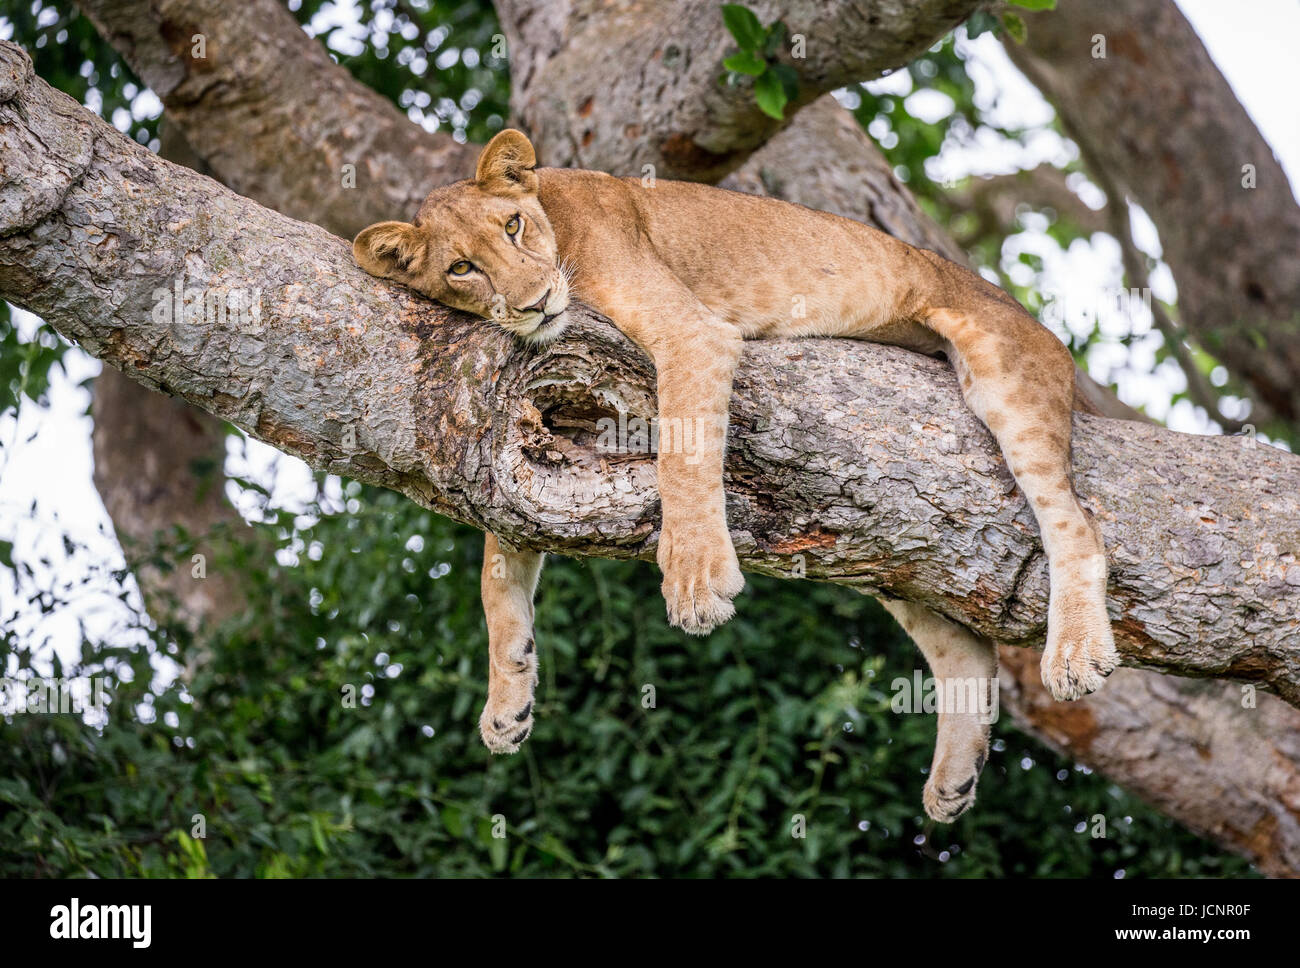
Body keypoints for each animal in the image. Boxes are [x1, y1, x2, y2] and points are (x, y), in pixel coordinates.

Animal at [354, 129, 1119, 822]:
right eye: (461, 268)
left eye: (512, 226)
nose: (536, 301)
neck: (555, 220)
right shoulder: (521, 436)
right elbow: (496, 567)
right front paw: (505, 701)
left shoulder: (691, 330)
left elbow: (682, 456)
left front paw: (695, 580)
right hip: (886, 542)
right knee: (964, 648)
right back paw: (953, 779)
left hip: (1004, 371)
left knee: (1077, 526)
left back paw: (1074, 654)